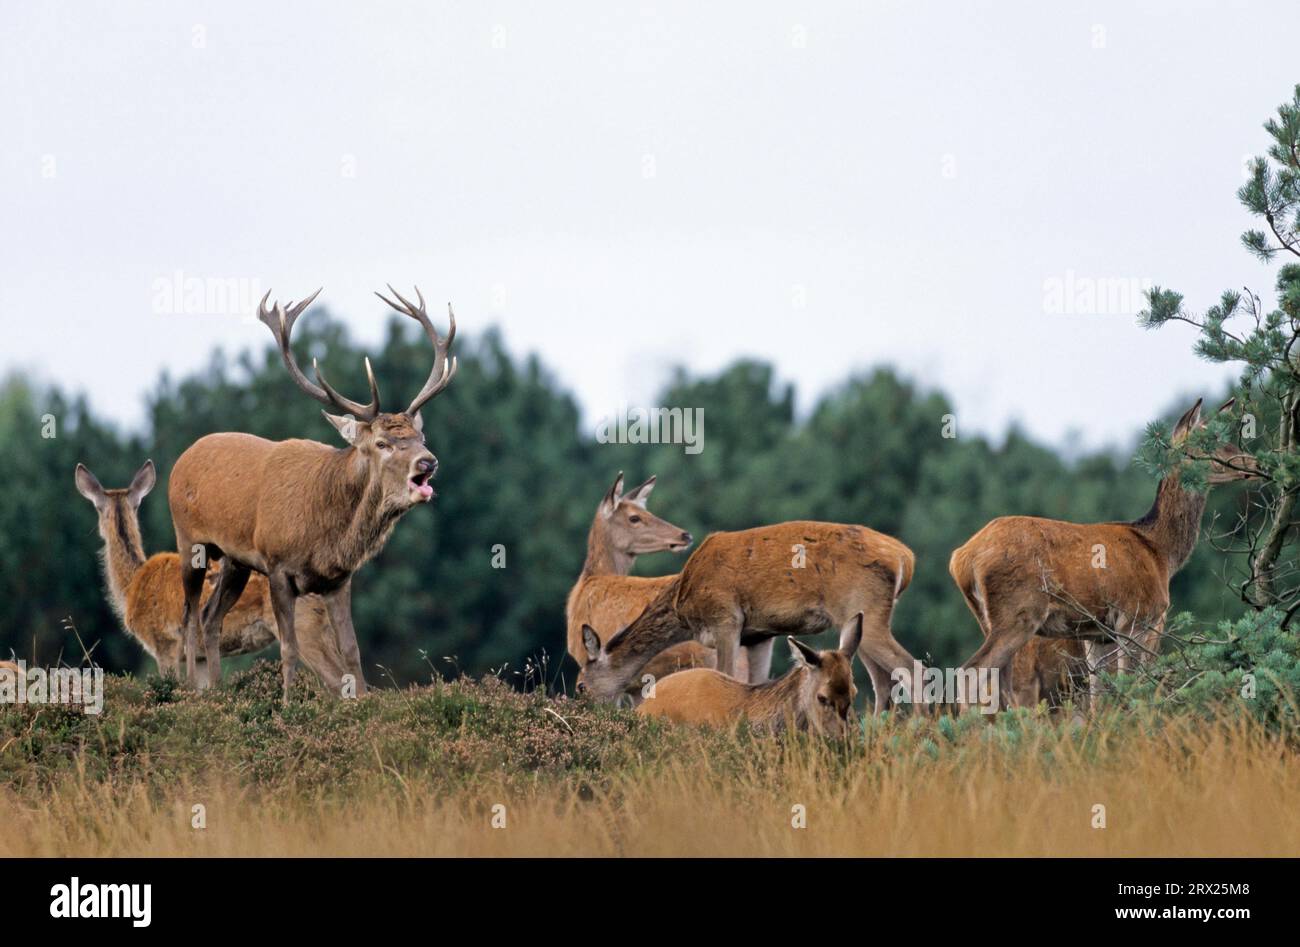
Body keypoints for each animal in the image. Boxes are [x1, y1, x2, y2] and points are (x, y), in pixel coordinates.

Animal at [168, 284, 457, 701]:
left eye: (421, 436)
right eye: (382, 443)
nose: (428, 462)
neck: (327, 533)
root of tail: (183, 458)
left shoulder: (339, 579)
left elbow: (352, 649)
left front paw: (362, 702)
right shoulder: (277, 565)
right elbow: (289, 647)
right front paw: (288, 704)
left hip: (236, 561)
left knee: (210, 618)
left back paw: (219, 692)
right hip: (190, 539)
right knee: (190, 615)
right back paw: (192, 689)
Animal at [577, 520, 920, 714]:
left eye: (580, 685)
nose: (588, 715)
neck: (682, 606)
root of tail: (905, 558)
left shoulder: (725, 619)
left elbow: (725, 673)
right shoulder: (759, 635)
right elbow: (754, 683)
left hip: (864, 607)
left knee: (913, 670)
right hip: (861, 620)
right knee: (884, 683)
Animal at [950, 397, 1260, 711]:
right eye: (1210, 438)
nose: (1254, 463)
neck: (1161, 553)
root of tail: (961, 559)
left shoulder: (1097, 635)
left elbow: (1097, 699)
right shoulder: (1136, 618)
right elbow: (1132, 687)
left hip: (988, 619)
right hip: (1019, 612)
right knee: (970, 672)